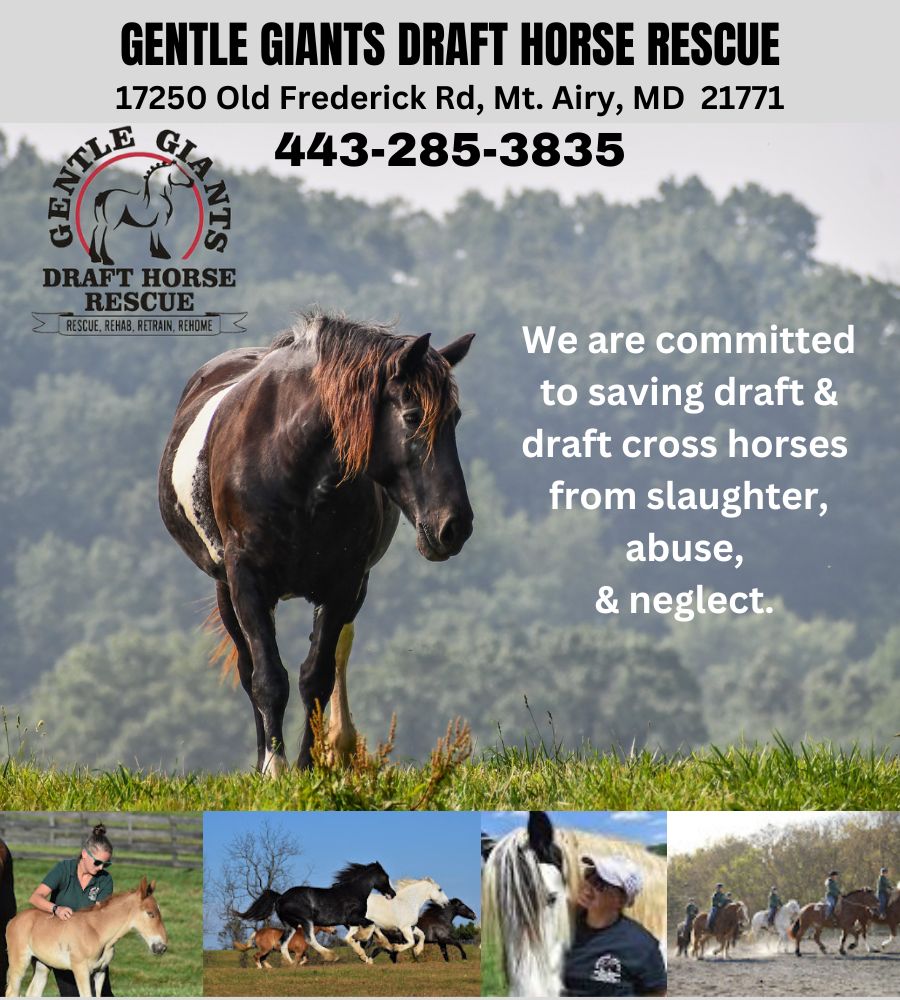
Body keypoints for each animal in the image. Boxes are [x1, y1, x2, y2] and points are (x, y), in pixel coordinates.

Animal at [5, 877, 167, 998]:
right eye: (150, 913)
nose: (162, 947)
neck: (97, 932)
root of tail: (12, 921)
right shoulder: (81, 970)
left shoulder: (100, 973)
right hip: (19, 962)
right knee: (12, 992)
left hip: (41, 965)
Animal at [159, 312, 475, 774]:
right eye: (413, 416)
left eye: (455, 419)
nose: (455, 526)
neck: (293, 463)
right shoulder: (245, 580)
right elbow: (267, 678)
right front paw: (274, 769)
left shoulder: (344, 581)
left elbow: (317, 675)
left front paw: (309, 767)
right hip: (224, 588)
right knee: (249, 669)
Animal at [234, 862, 395, 965]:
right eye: (385, 877)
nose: (392, 894)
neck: (354, 892)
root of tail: (280, 897)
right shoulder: (353, 918)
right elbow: (371, 926)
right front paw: (364, 945)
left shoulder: (349, 922)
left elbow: (369, 929)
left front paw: (370, 953)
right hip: (306, 920)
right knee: (310, 939)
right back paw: (331, 956)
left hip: (291, 925)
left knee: (283, 943)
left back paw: (291, 964)